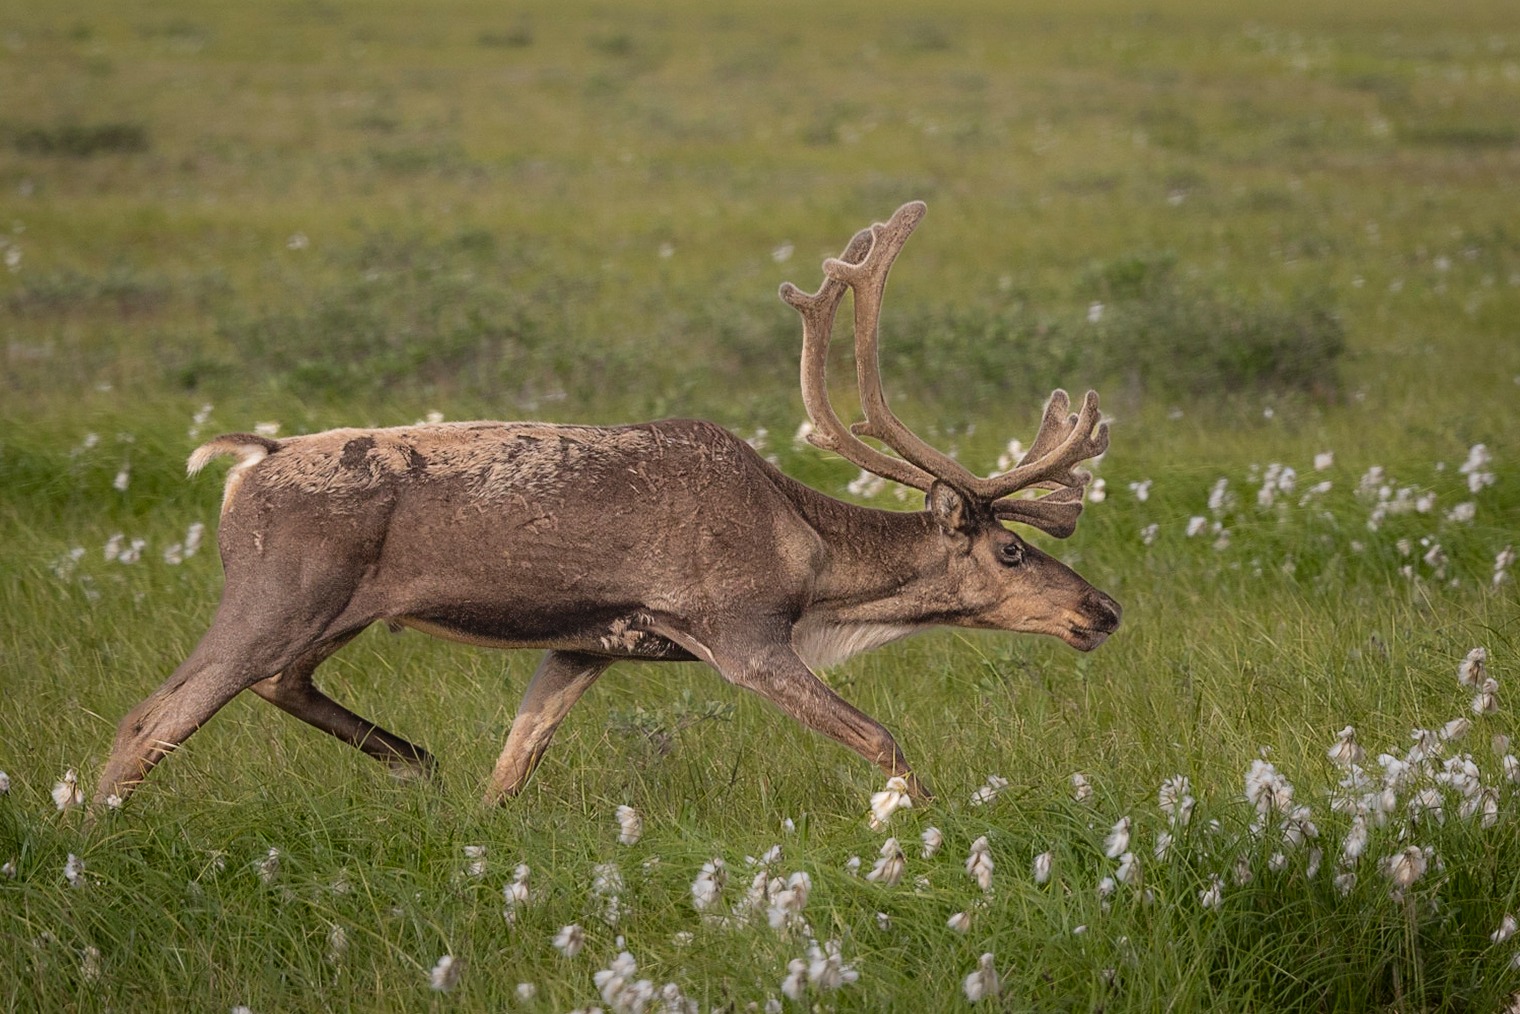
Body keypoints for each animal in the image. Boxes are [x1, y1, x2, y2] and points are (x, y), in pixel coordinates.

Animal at [94, 201, 1120, 809]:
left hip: (337, 610)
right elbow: (883, 739)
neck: (813, 562)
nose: (1104, 609)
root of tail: (246, 462)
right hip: (275, 593)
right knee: (149, 722)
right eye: (1011, 552)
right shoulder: (740, 631)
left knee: (276, 685)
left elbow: (513, 767)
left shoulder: (586, 642)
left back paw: (413, 758)